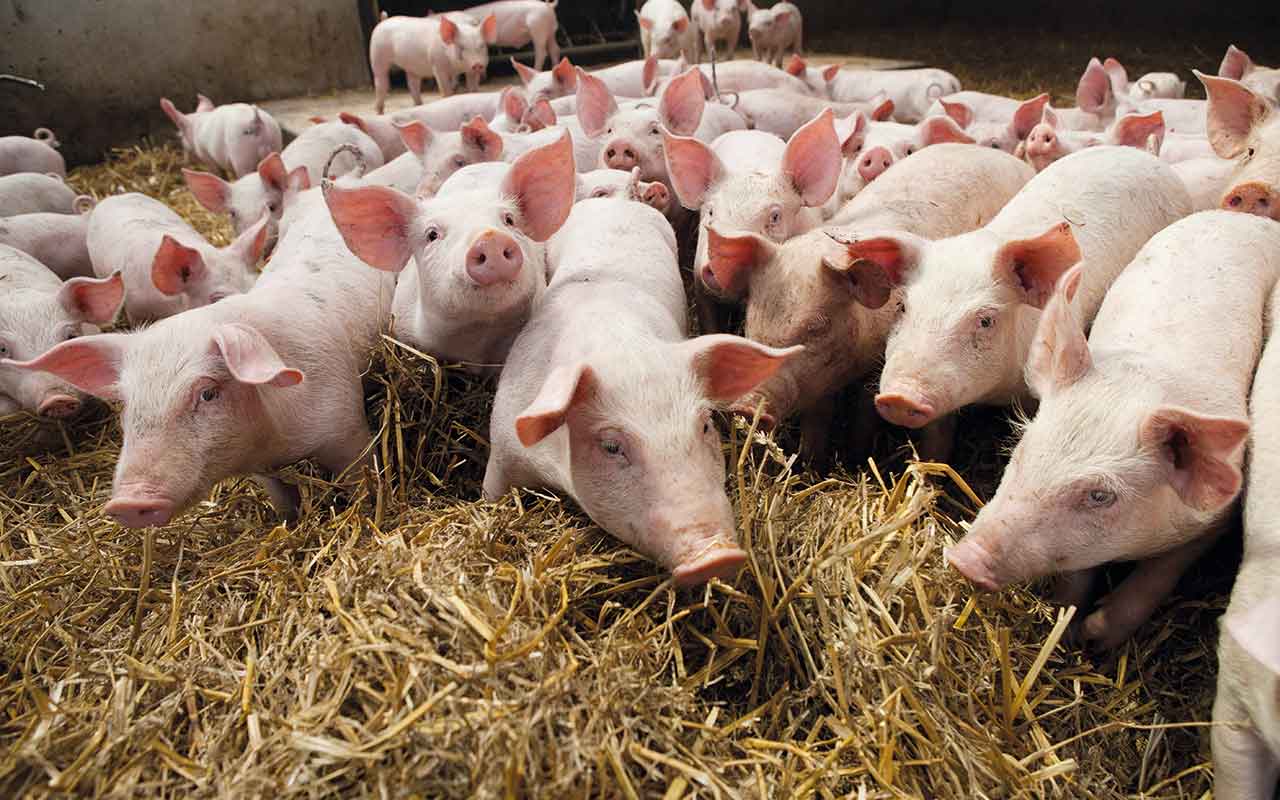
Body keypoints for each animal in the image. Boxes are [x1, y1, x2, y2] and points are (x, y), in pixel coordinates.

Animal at [369, 11, 499, 111]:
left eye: (481, 46)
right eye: (461, 47)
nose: (477, 64)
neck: (456, 68)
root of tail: (384, 21)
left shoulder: (470, 71)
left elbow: (473, 89)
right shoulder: (438, 66)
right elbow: (445, 90)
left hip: (411, 67)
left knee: (412, 84)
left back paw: (419, 105)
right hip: (377, 54)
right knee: (381, 81)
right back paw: (379, 111)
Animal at [484, 194, 799, 585]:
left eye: (705, 425)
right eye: (611, 446)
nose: (716, 556)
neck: (618, 343)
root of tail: (616, 200)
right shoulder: (503, 446)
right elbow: (490, 493)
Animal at [703, 144, 1033, 459]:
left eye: (818, 327)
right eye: (751, 318)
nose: (745, 406)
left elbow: (866, 414)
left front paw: (858, 456)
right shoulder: (818, 380)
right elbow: (818, 417)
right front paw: (812, 460)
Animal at [947, 210, 1280, 649]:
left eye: (1100, 496)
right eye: (1020, 453)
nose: (964, 559)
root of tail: (1240, 215)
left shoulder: (1212, 522)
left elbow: (1157, 575)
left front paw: (1094, 635)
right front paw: (1066, 623)